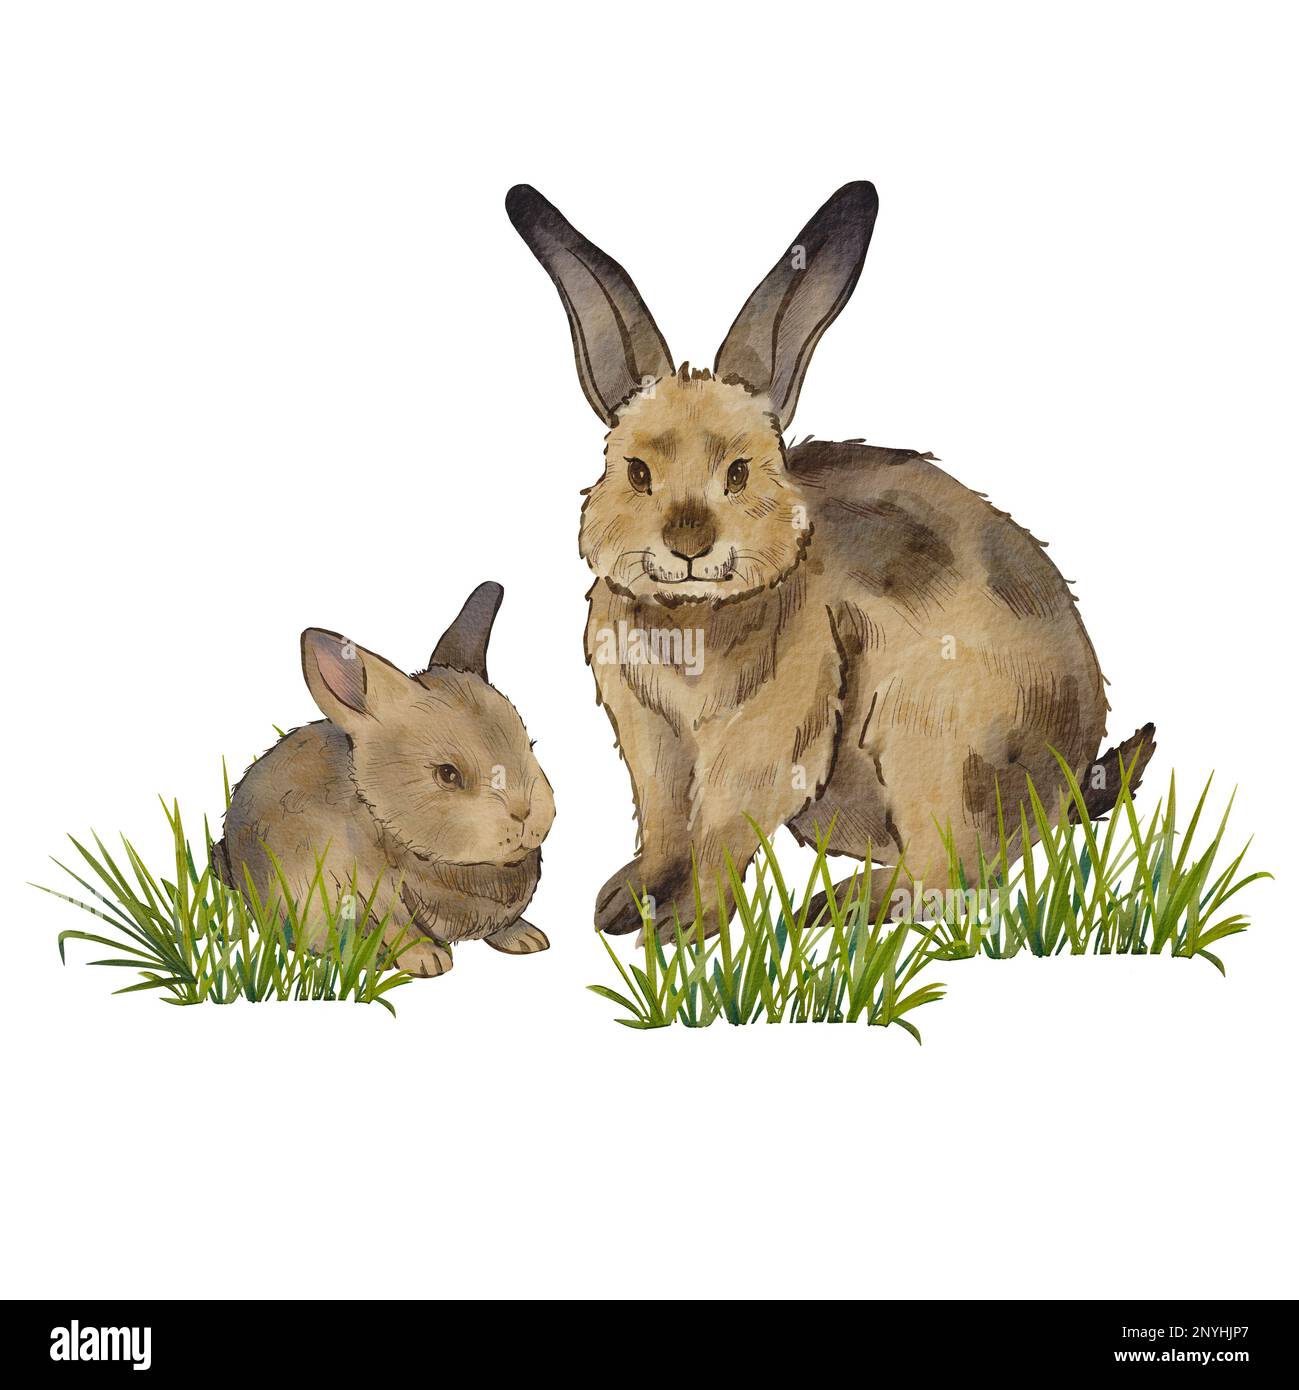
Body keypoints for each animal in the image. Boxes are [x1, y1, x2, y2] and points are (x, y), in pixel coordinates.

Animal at [212, 582, 555, 976]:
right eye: (447, 774)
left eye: (529, 745)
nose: (525, 814)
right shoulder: (370, 891)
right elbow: (398, 926)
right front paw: (429, 960)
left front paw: (528, 939)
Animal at [506, 181, 1154, 939]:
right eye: (635, 472)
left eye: (739, 473)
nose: (689, 543)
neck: (694, 612)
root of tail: (1066, 782)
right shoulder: (650, 737)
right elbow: (663, 823)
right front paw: (624, 902)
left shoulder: (772, 731)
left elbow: (722, 829)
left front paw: (684, 927)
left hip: (928, 743)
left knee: (948, 877)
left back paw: (832, 907)